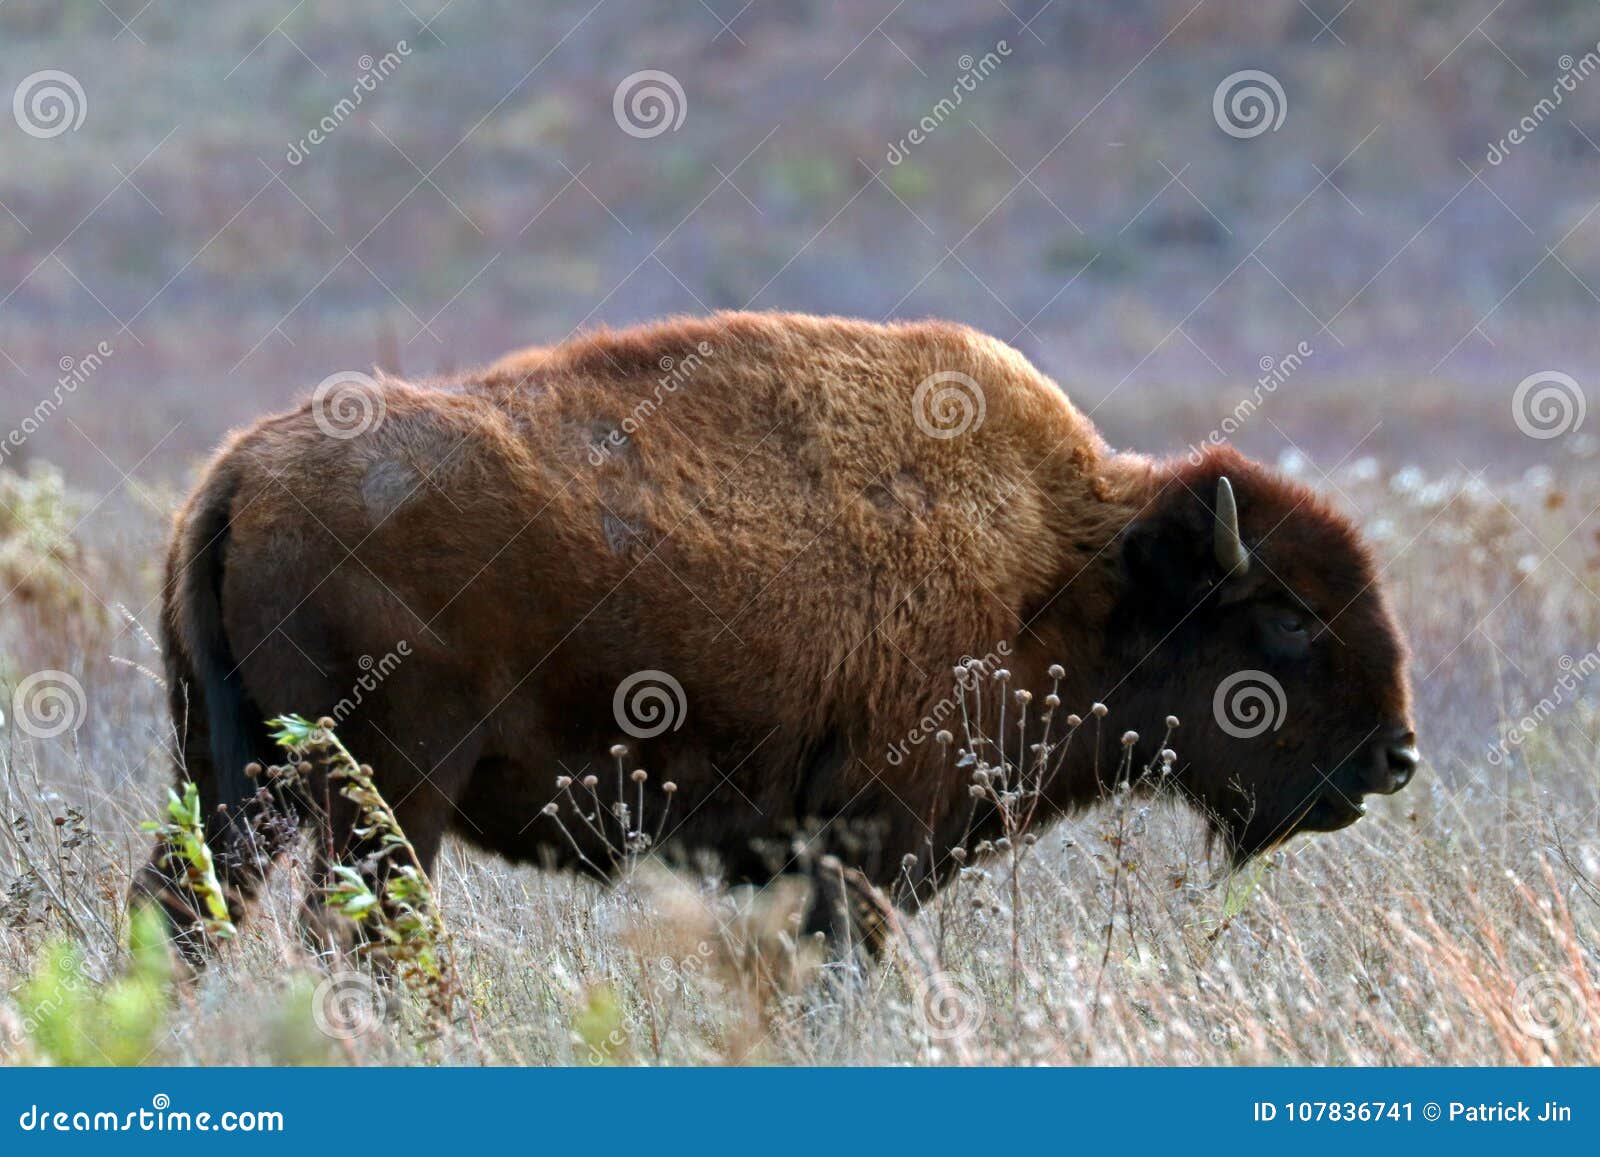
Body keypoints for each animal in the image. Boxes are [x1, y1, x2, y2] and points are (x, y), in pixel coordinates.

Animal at [133, 311, 1417, 952]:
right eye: (1287, 615)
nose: (1395, 755)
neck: (1069, 562)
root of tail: (241, 469)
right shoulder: (877, 844)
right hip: (386, 793)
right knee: (361, 939)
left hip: (228, 774)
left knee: (185, 911)